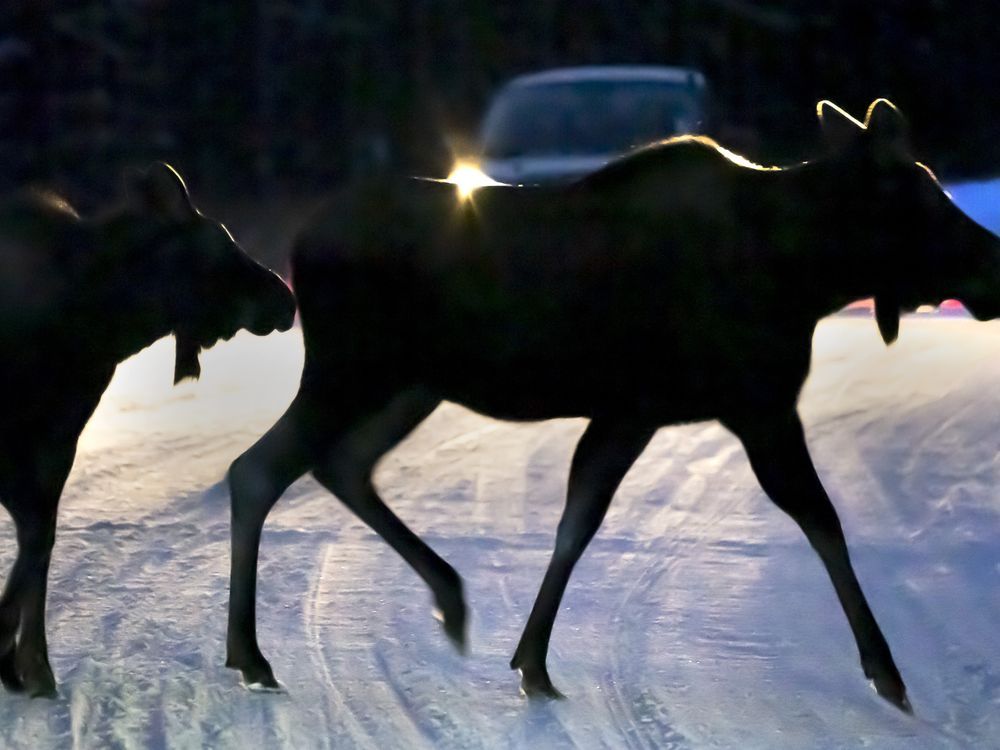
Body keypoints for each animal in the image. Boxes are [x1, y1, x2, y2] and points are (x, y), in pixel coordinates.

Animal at [0, 162, 296, 696]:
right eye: (220, 243)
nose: (285, 298)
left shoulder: (53, 444)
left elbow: (38, 542)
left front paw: (25, 667)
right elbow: (37, 543)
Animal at [226, 99, 1000, 713]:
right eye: (928, 196)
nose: (993, 260)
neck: (808, 274)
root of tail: (296, 245)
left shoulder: (634, 412)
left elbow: (578, 520)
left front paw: (531, 662)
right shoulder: (759, 405)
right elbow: (823, 521)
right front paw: (887, 673)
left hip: (409, 384)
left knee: (340, 466)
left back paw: (446, 595)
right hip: (351, 370)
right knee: (258, 470)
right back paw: (252, 654)